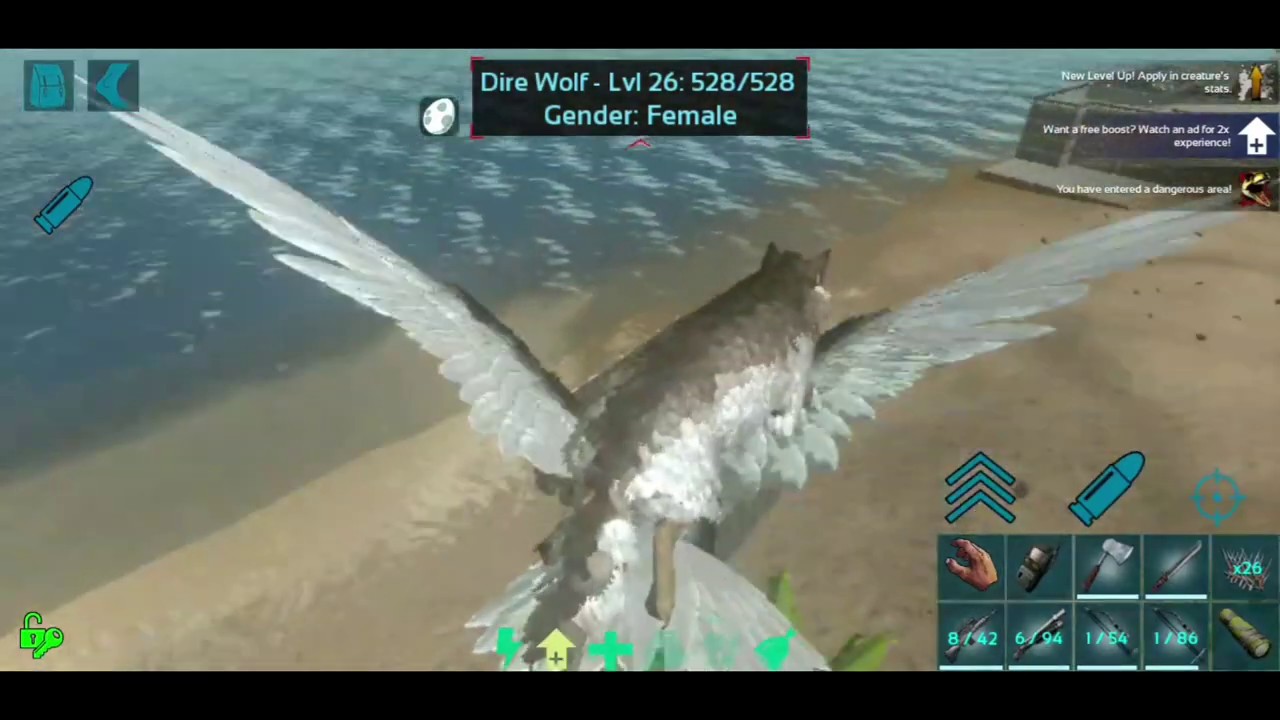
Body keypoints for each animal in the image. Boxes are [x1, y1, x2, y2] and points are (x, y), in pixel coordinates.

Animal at [97, 86, 1244, 670]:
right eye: (814, 285)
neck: (759, 300)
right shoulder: (794, 377)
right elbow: (797, 398)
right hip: (663, 503)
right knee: (655, 543)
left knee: (591, 525)